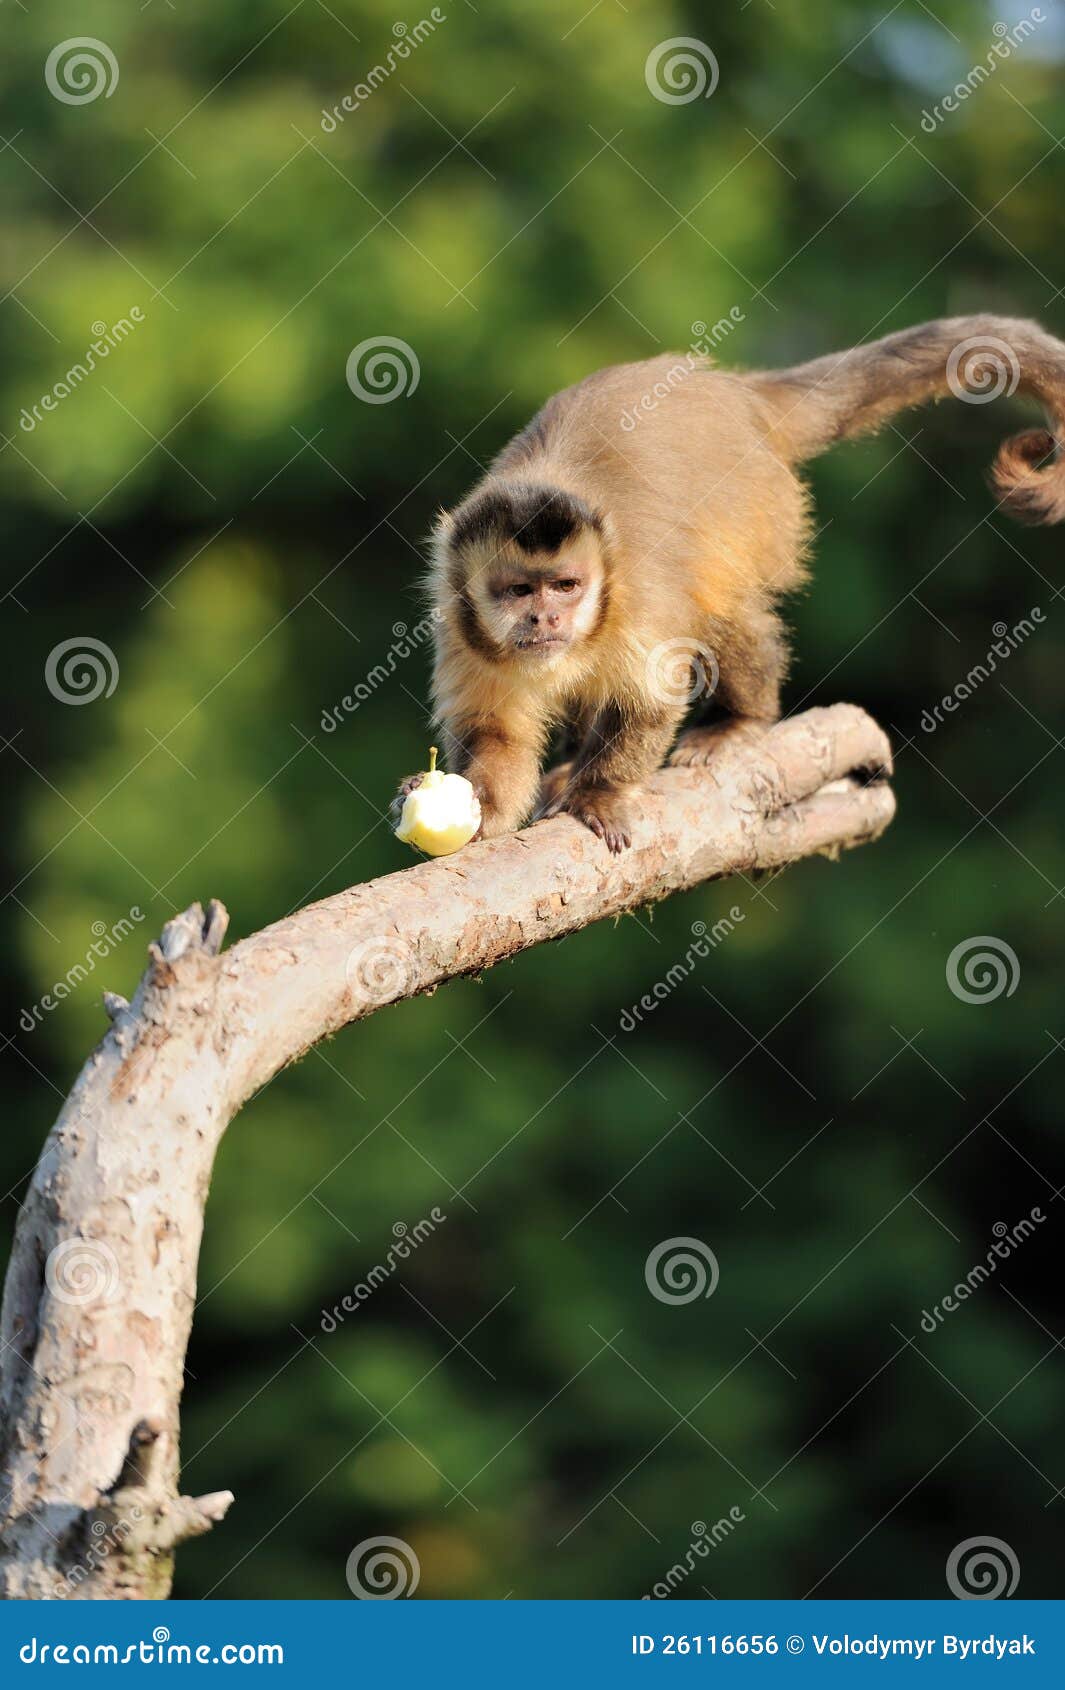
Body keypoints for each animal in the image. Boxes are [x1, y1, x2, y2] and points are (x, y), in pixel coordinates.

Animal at [395, 314, 1065, 852]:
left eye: (565, 587)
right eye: (519, 593)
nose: (547, 620)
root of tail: (737, 392)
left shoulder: (635, 597)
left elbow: (652, 697)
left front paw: (599, 793)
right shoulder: (458, 623)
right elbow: (497, 734)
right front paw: (478, 809)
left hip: (760, 502)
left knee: (718, 606)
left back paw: (740, 721)